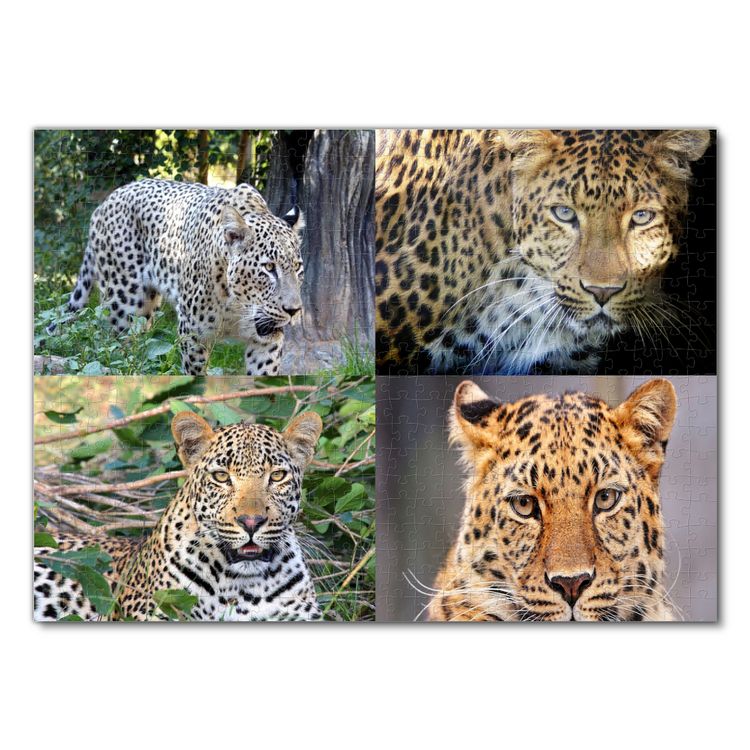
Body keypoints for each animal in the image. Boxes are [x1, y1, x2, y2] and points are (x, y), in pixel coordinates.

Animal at [53, 178, 305, 375]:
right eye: (269, 267)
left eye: (297, 268)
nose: (293, 311)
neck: (238, 305)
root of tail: (105, 202)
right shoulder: (192, 334)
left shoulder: (266, 342)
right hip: (124, 307)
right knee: (116, 350)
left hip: (145, 312)